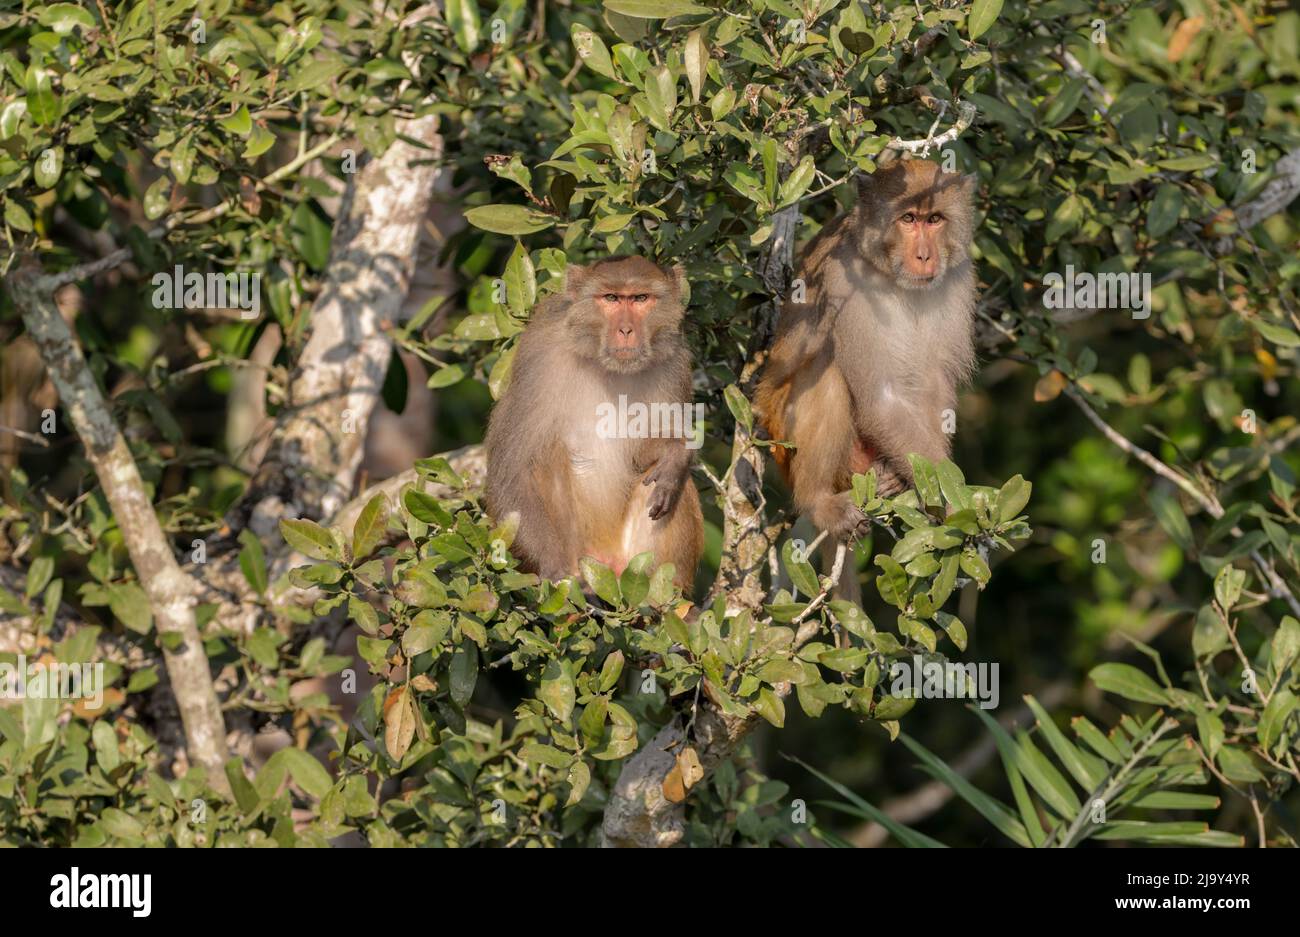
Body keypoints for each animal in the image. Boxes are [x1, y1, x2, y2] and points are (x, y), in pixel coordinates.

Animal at [484, 256, 703, 591]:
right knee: (547, 452)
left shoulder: (674, 364)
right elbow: (512, 470)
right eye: (611, 298)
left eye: (640, 298)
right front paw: (555, 570)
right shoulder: (539, 355)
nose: (626, 330)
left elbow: (643, 457)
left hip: (634, 564)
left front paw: (676, 451)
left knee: (670, 482)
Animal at [754, 157, 977, 544]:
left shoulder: (957, 279)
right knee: (827, 375)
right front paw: (953, 505)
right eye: (908, 219)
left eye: (934, 219)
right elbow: (880, 398)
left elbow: (932, 383)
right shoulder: (846, 281)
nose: (925, 256)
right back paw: (818, 502)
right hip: (783, 437)